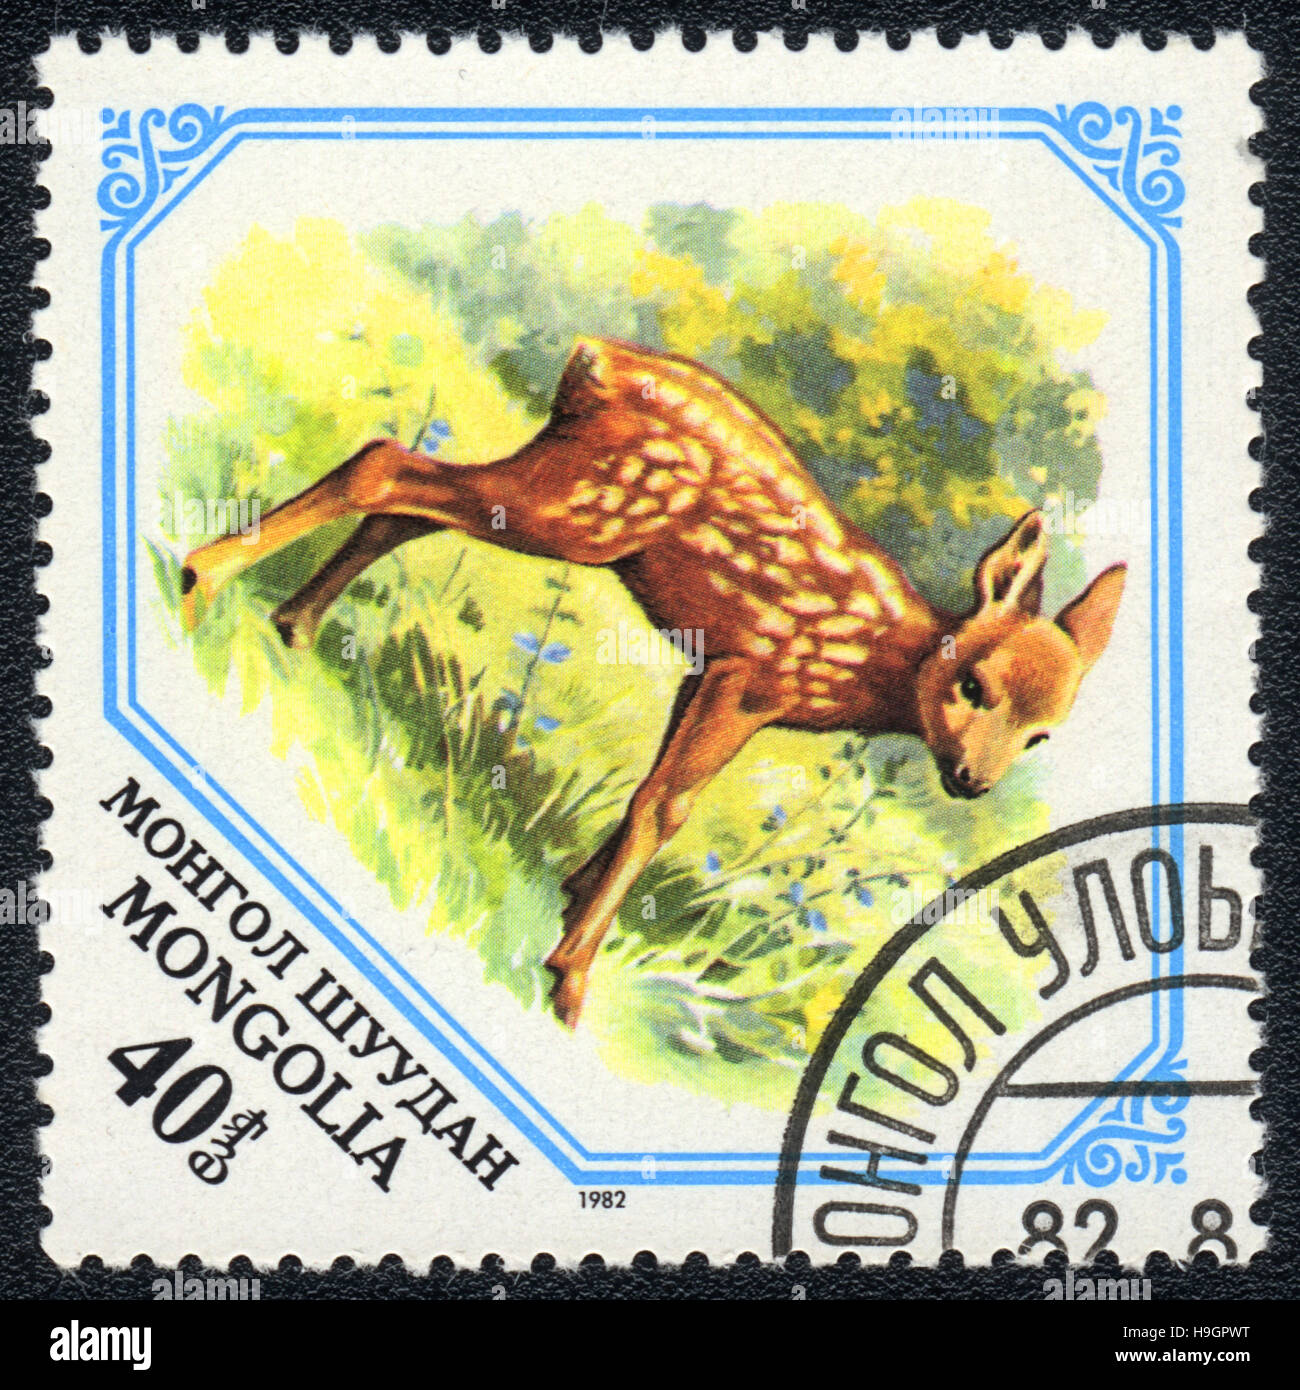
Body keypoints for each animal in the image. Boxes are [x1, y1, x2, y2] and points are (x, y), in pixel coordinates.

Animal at [180, 338, 1126, 1028]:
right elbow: (666, 809)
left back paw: (290, 623)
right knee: (386, 467)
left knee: (408, 502)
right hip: (588, 508)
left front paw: (571, 900)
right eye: (974, 687)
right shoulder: (753, 676)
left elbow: (651, 794)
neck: (873, 666)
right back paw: (200, 580)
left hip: (561, 492)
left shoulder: (704, 672)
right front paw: (569, 981)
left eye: (1043, 734)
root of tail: (594, 362)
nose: (972, 781)